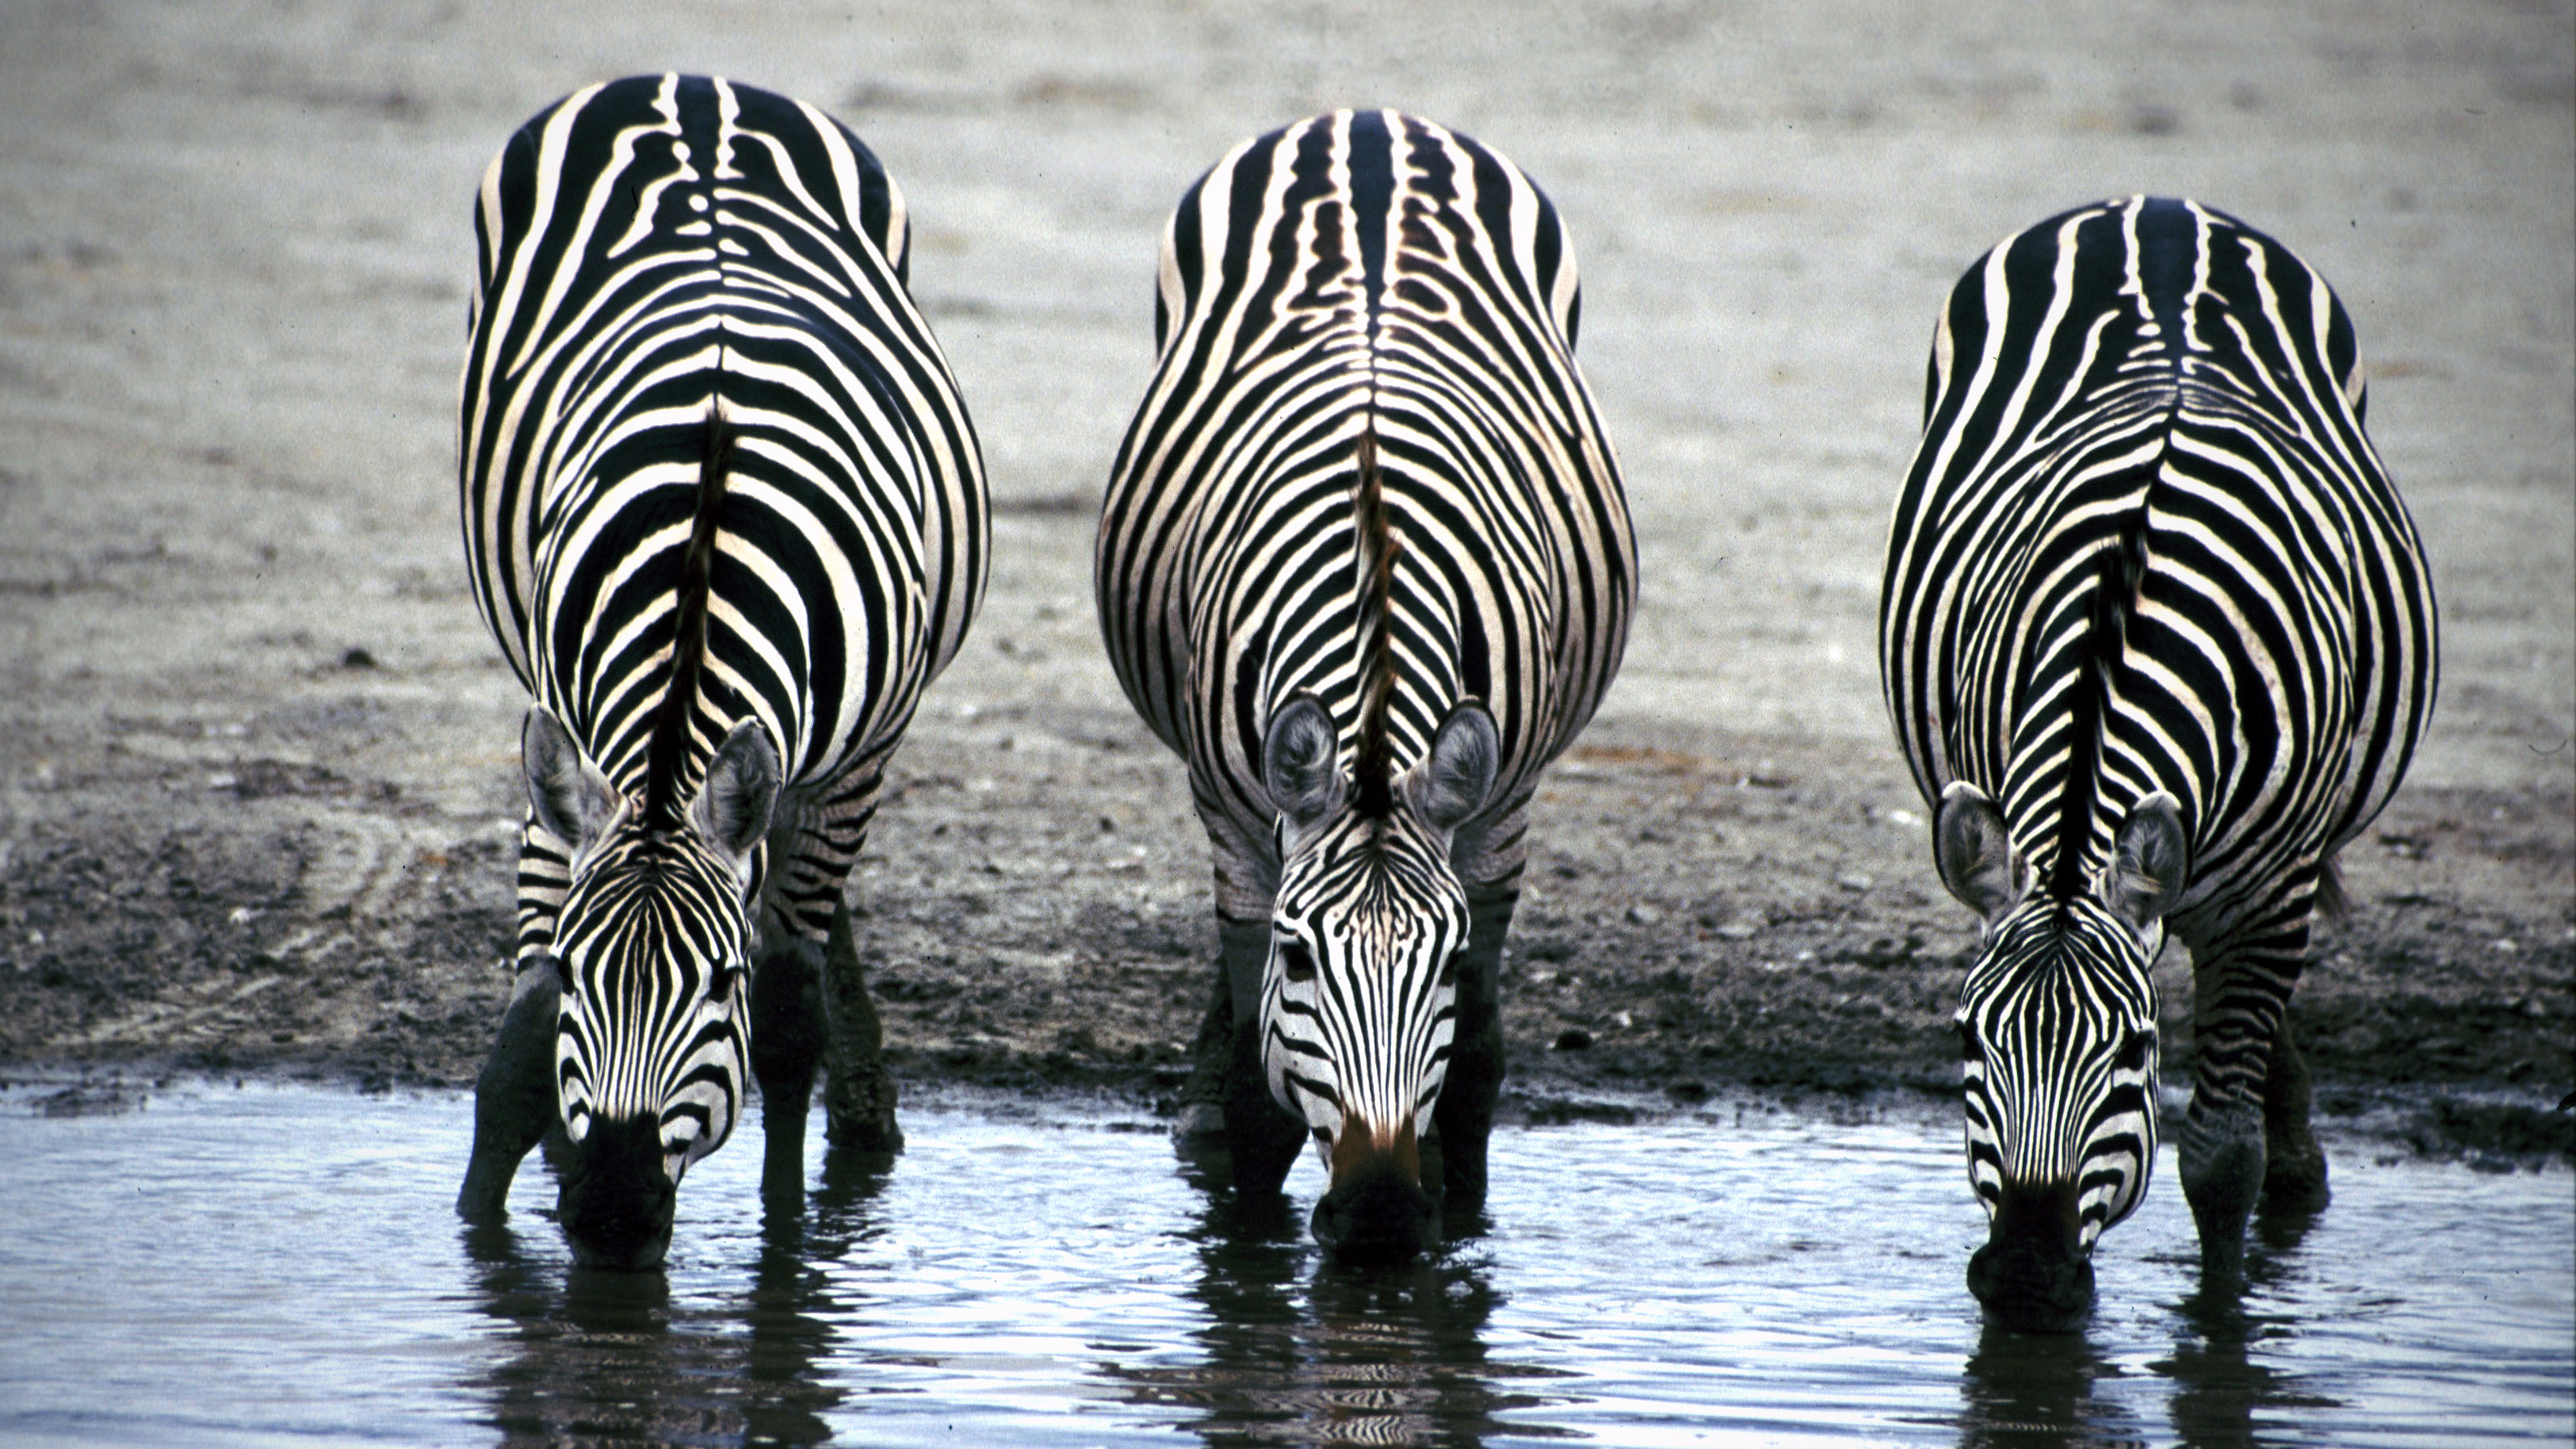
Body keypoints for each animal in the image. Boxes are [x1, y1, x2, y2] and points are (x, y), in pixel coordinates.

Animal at [450, 74, 987, 1268]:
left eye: (718, 984)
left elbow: (787, 1025)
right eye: (580, 972)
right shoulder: (564, 737)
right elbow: (519, 1042)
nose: (610, 1213)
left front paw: (788, 1251)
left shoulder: (853, 766)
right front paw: (487, 1230)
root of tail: (694, 83)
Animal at [1097, 110, 1634, 1258]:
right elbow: (1258, 1079)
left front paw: (1453, 1218)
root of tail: (1370, 121)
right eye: (1300, 960)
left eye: (1441, 963)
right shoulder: (1231, 811)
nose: (1381, 1214)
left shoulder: (1501, 808)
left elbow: (1473, 1065)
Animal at [1880, 196, 2437, 1327]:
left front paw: (2220, 1323)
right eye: (1965, 1040)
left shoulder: (2270, 894)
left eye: (2134, 1053)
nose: (2026, 1279)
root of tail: (2156, 205)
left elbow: (2218, 1159)